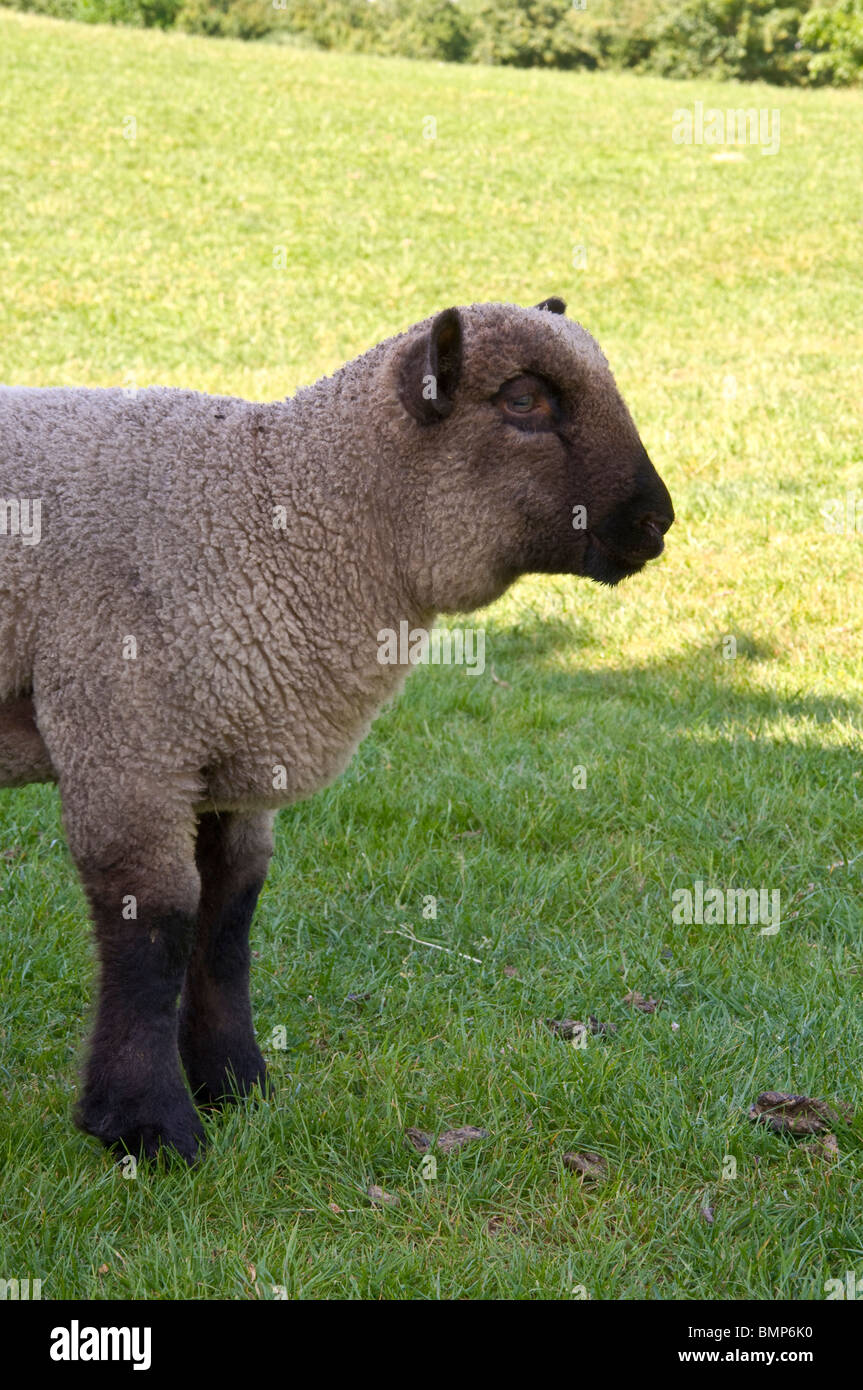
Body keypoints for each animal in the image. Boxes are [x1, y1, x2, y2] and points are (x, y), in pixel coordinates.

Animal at [0, 298, 673, 1163]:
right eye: (522, 400)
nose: (656, 521)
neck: (272, 511)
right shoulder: (128, 747)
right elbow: (155, 931)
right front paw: (147, 1126)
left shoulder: (230, 758)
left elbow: (227, 919)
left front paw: (236, 1084)